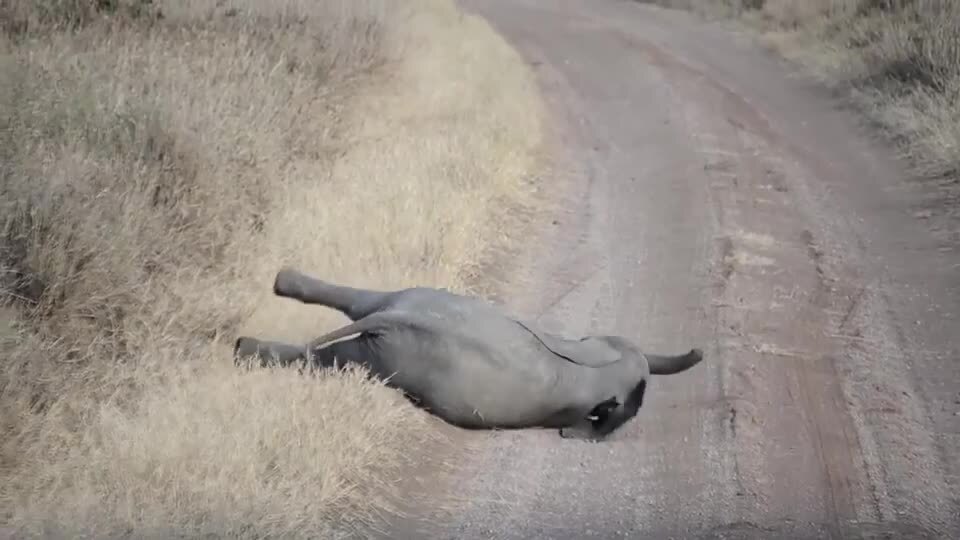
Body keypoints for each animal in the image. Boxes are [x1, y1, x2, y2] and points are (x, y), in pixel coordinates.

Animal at [233, 268, 704, 442]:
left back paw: (254, 329)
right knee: (336, 357)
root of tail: (401, 314)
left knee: (348, 322)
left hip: (397, 318)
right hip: (396, 357)